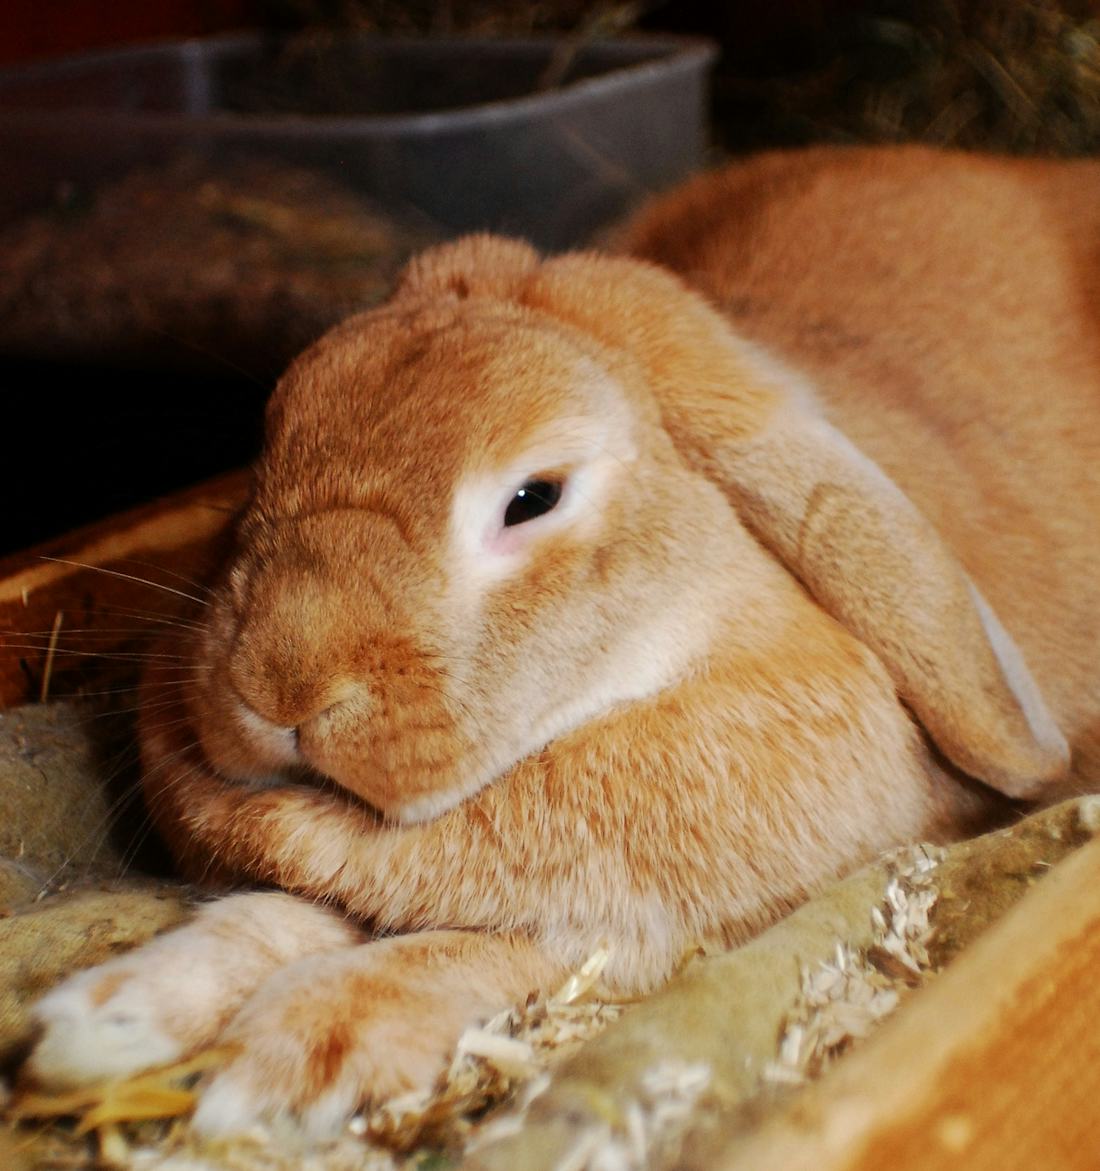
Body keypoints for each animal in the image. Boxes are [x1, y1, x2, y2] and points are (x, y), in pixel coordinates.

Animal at [25, 144, 1099, 1139]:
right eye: (265, 450)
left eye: (532, 497)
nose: (281, 682)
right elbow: (277, 914)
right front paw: (100, 1020)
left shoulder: (656, 924)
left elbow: (474, 948)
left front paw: (282, 1063)